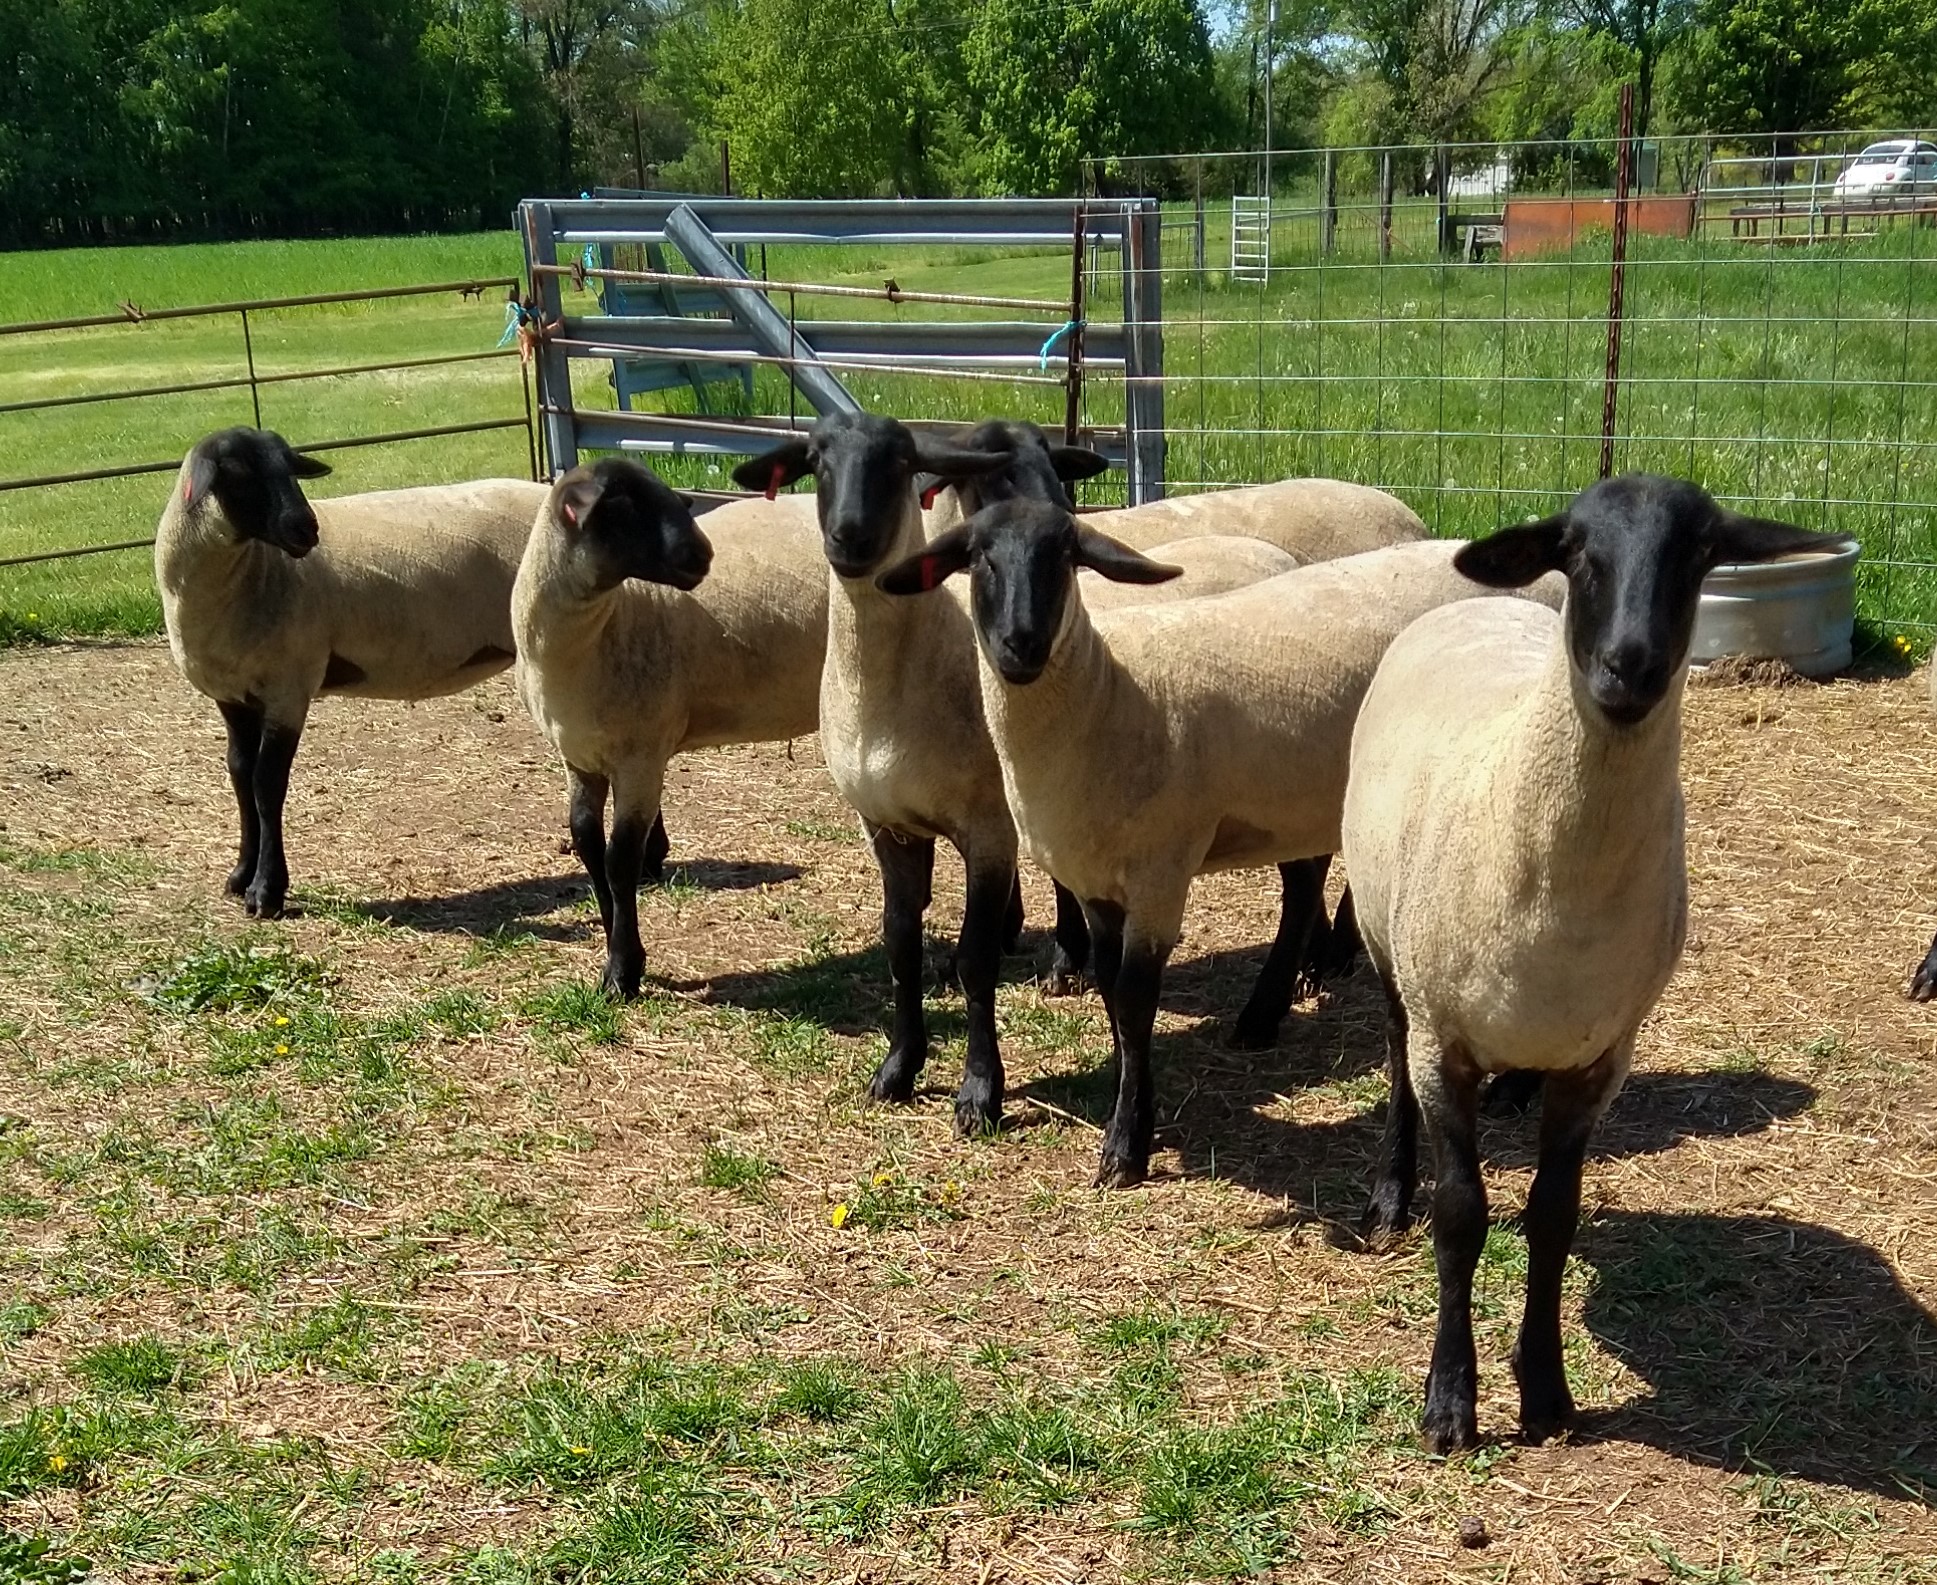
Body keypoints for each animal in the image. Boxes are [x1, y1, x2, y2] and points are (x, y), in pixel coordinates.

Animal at [154, 426, 549, 919]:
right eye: (239, 471)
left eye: (289, 465)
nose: (306, 528)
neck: (253, 574)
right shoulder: (231, 695)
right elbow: (240, 775)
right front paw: (241, 874)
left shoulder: (289, 686)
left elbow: (267, 784)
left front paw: (267, 891)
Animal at [512, 458, 826, 999]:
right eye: (623, 503)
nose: (703, 554)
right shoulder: (578, 757)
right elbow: (588, 846)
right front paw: (616, 950)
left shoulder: (640, 757)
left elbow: (620, 861)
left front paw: (623, 971)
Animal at [878, 499, 1566, 1187]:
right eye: (979, 559)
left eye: (1065, 556)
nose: (1021, 645)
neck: (1108, 692)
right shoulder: (1095, 876)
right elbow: (1112, 993)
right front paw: (1133, 1102)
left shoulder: (1161, 871)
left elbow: (1135, 1002)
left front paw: (1127, 1145)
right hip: (1301, 799)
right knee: (1303, 887)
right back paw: (1265, 1013)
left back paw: (1513, 1089)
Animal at [1341, 475, 1834, 1453]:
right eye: (1575, 552)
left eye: (1701, 551)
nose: (1629, 667)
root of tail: (1474, 601)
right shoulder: (1444, 1042)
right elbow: (1462, 1217)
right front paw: (1448, 1402)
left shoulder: (1599, 1059)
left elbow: (1552, 1216)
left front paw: (1545, 1390)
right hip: (1390, 951)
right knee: (1391, 1056)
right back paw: (1388, 1195)